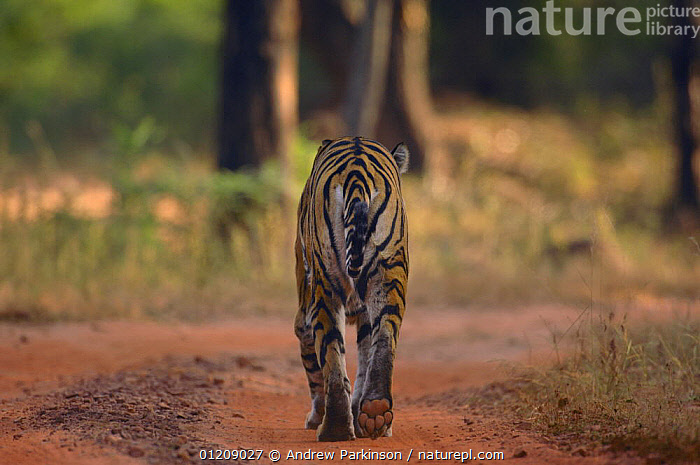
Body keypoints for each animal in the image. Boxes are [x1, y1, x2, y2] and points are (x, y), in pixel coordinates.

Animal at [294, 136, 409, 442]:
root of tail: (357, 172)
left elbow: (313, 359)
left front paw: (317, 416)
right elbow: (366, 354)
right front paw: (364, 419)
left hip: (324, 285)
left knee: (330, 352)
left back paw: (332, 428)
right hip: (390, 275)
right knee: (385, 339)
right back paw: (376, 411)